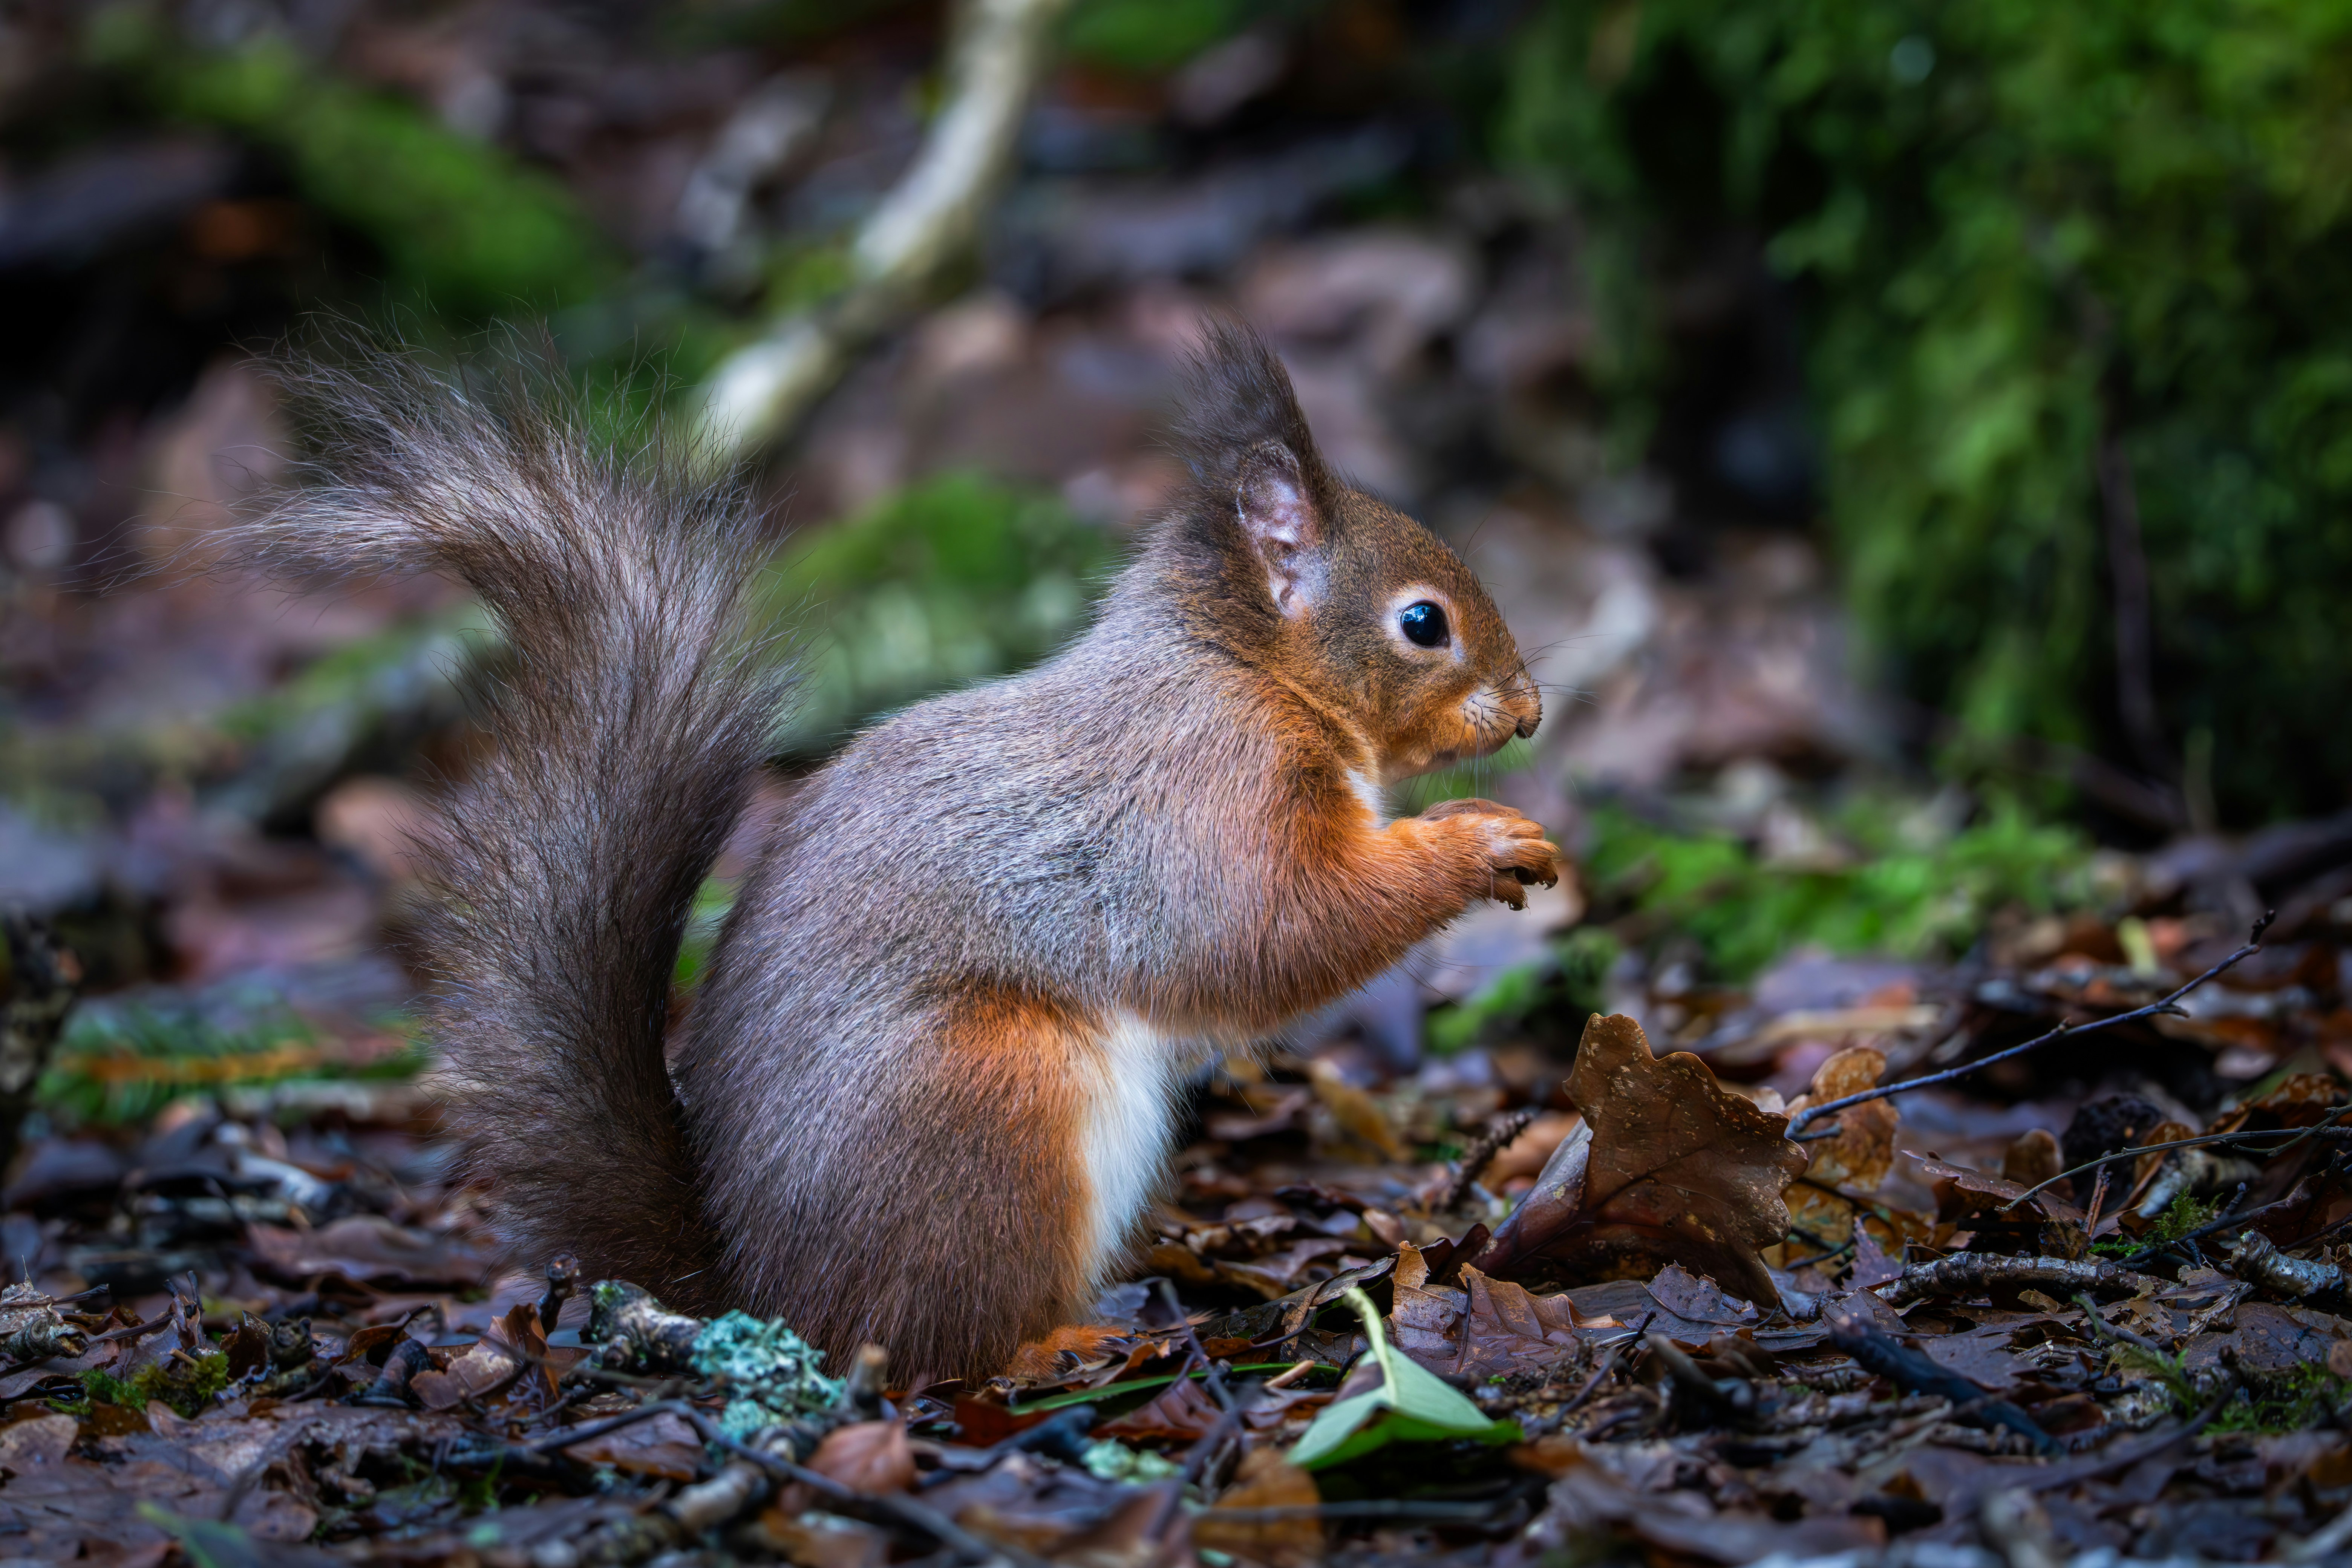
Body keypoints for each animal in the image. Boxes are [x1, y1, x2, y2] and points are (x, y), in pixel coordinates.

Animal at [243, 324, 1557, 1381]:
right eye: (1423, 623)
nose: (1534, 709)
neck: (1244, 668)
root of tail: (763, 1294)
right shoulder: (1203, 794)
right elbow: (1265, 933)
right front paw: (1480, 842)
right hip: (989, 1098)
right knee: (929, 1343)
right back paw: (1065, 1339)